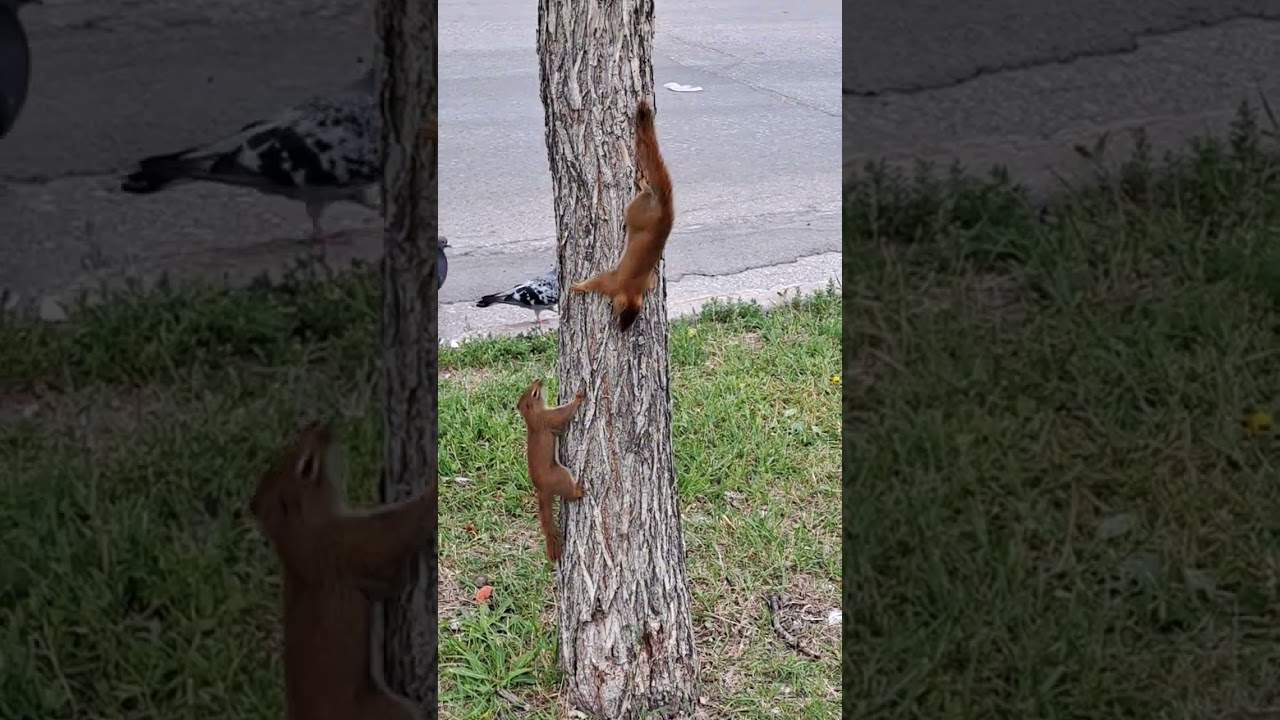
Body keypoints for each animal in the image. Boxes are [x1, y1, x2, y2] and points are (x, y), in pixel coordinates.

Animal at [250, 421, 437, 720]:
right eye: (307, 467)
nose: (323, 428)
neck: (301, 540)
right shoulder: (346, 547)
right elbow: (400, 530)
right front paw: (434, 492)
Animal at [516, 379, 586, 563]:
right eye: (534, 394)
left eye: (530, 389)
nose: (539, 381)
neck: (532, 418)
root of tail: (542, 490)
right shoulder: (548, 419)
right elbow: (563, 414)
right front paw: (577, 398)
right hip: (561, 475)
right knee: (570, 494)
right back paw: (579, 491)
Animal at [570, 99, 674, 332]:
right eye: (621, 314)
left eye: (629, 319)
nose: (621, 330)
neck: (632, 289)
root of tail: (666, 213)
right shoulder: (614, 282)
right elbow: (596, 282)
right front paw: (577, 286)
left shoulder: (619, 284)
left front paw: (577, 286)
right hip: (637, 210)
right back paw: (643, 182)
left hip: (638, 211)